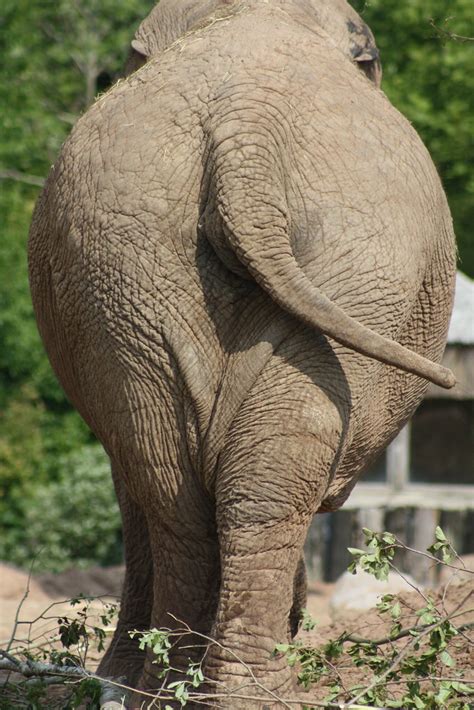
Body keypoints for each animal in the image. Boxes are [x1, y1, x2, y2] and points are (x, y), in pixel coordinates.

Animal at [28, 0, 456, 707]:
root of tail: (245, 131)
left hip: (127, 262)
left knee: (176, 478)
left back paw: (179, 687)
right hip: (342, 263)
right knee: (228, 481)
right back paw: (227, 687)